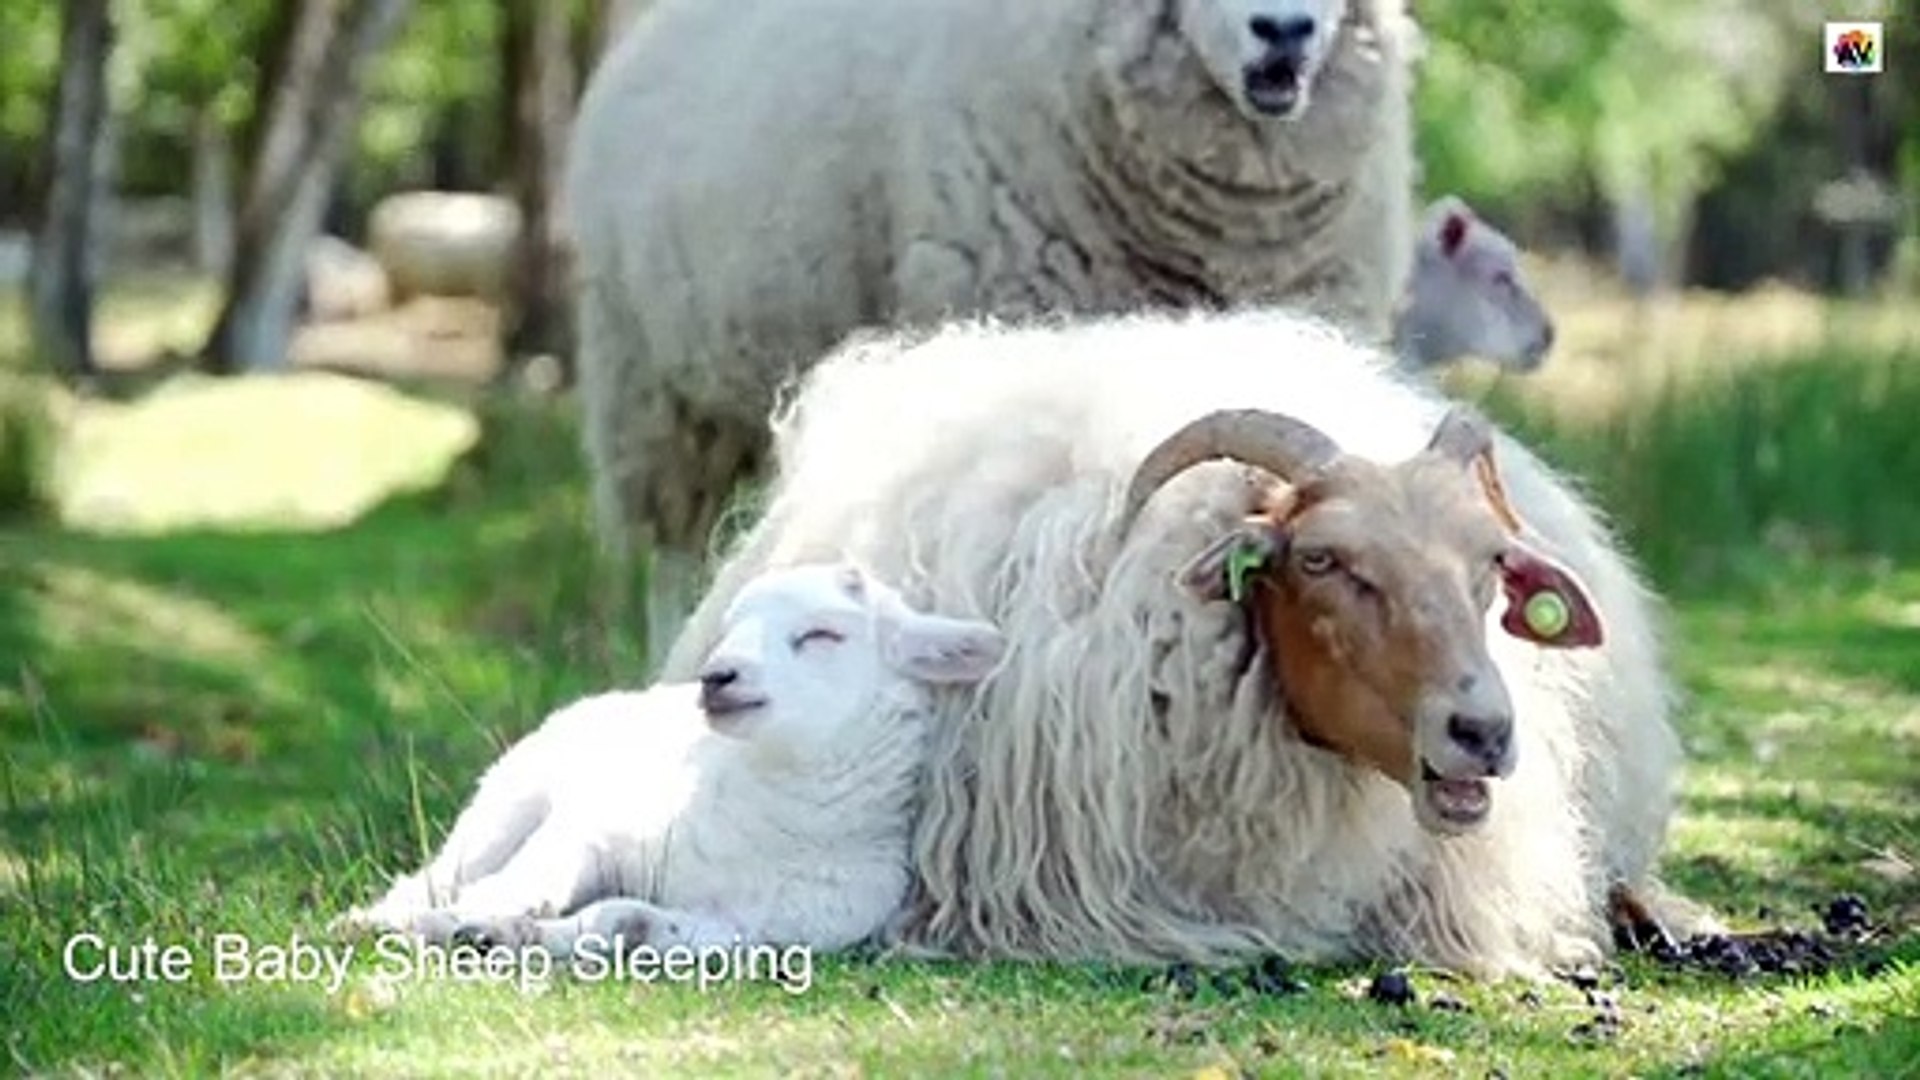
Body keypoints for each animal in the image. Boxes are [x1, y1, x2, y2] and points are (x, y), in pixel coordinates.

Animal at [334, 561, 1007, 956]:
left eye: (823, 635)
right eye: (730, 627)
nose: (717, 677)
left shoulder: (748, 929)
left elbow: (621, 921)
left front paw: (516, 934)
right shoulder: (600, 824)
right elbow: (534, 873)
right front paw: (484, 917)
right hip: (507, 798)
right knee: (439, 875)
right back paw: (377, 921)